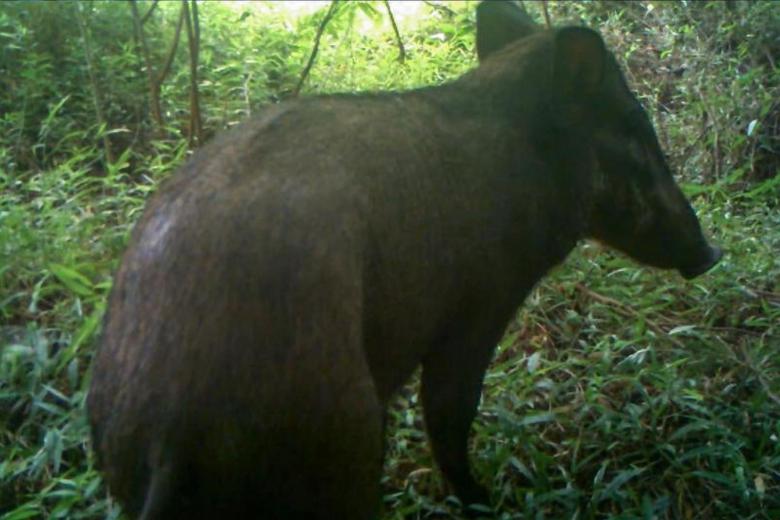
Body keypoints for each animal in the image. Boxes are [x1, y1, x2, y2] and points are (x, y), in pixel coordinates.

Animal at [87, 1, 721, 518]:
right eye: (634, 128)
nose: (710, 253)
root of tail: (170, 437)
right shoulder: (480, 303)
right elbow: (449, 411)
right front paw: (485, 503)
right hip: (343, 436)